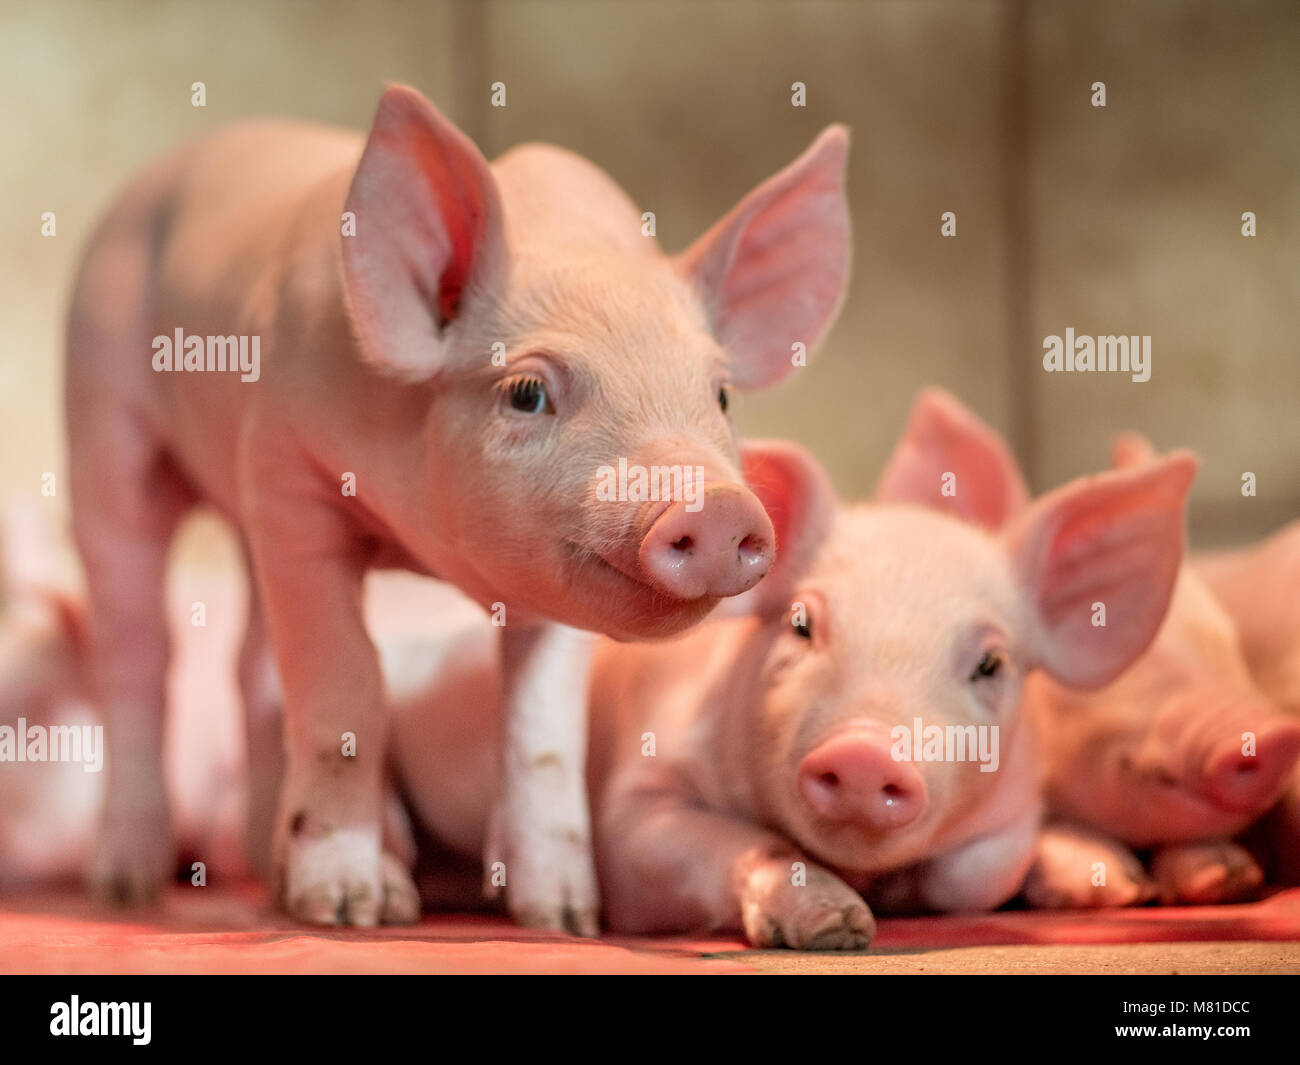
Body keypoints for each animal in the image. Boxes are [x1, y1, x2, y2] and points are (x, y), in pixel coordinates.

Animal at [64, 84, 852, 929]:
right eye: (528, 391)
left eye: (721, 393)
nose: (715, 507)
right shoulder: (286, 473)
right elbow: (346, 686)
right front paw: (348, 909)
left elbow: (543, 731)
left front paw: (563, 917)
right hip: (104, 426)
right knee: (138, 644)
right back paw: (130, 884)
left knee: (254, 665)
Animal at [378, 423, 1196, 948]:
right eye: (802, 624)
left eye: (991, 664)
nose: (865, 752)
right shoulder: (633, 800)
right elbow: (694, 843)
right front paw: (841, 927)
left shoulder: (1014, 808)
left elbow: (978, 870)